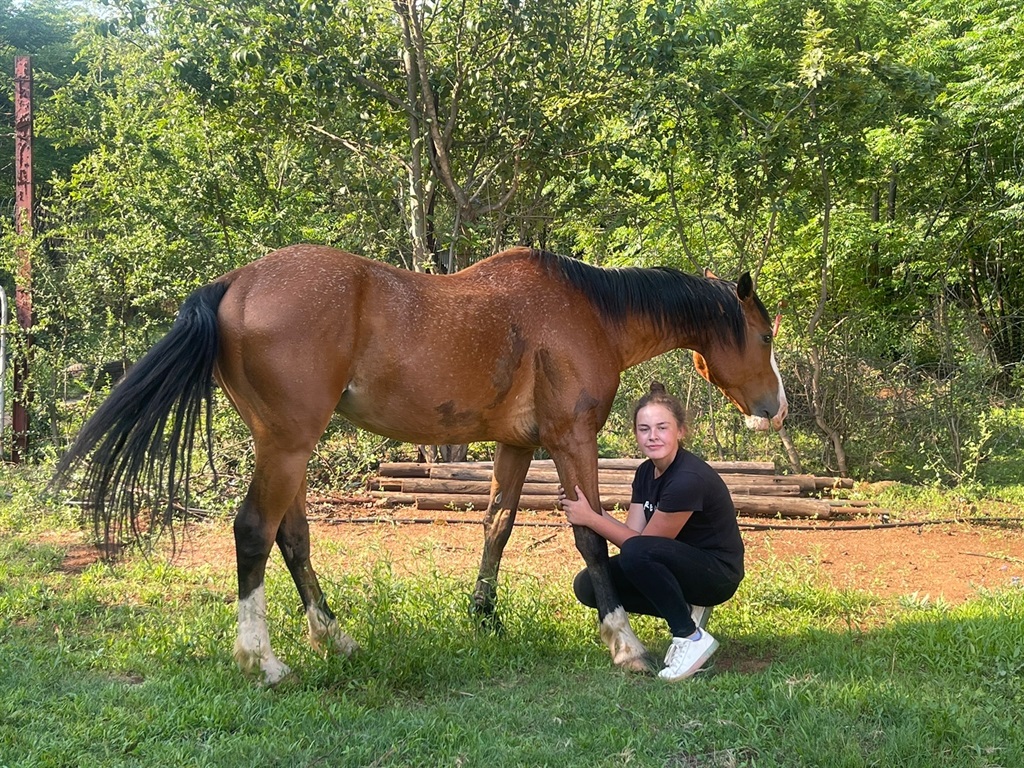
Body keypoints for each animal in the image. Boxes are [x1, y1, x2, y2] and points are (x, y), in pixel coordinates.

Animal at [52, 245, 787, 684]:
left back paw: (335, 639)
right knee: (255, 533)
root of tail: (236, 282)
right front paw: (624, 642)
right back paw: (265, 659)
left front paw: (484, 616)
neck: (590, 315)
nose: (775, 409)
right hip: (288, 445)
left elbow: (498, 525)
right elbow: (589, 538)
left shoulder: (517, 446)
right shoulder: (571, 439)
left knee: (292, 537)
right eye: (764, 334)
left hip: (284, 446)